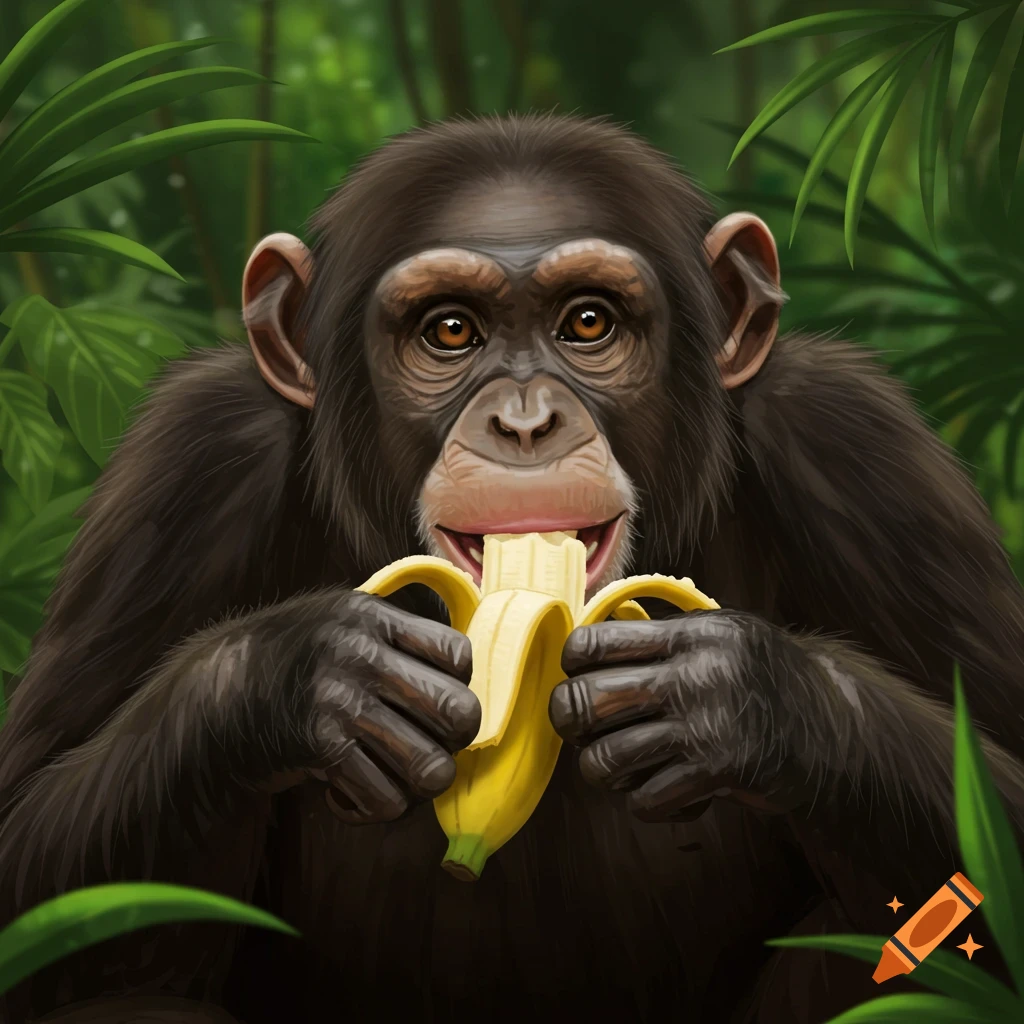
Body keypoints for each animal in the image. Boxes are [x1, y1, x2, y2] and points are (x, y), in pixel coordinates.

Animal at [0, 113, 1022, 1024]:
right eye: (451, 331)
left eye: (588, 323)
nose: (525, 421)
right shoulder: (192, 464)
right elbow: (29, 864)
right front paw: (306, 681)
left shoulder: (859, 449)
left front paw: (736, 698)